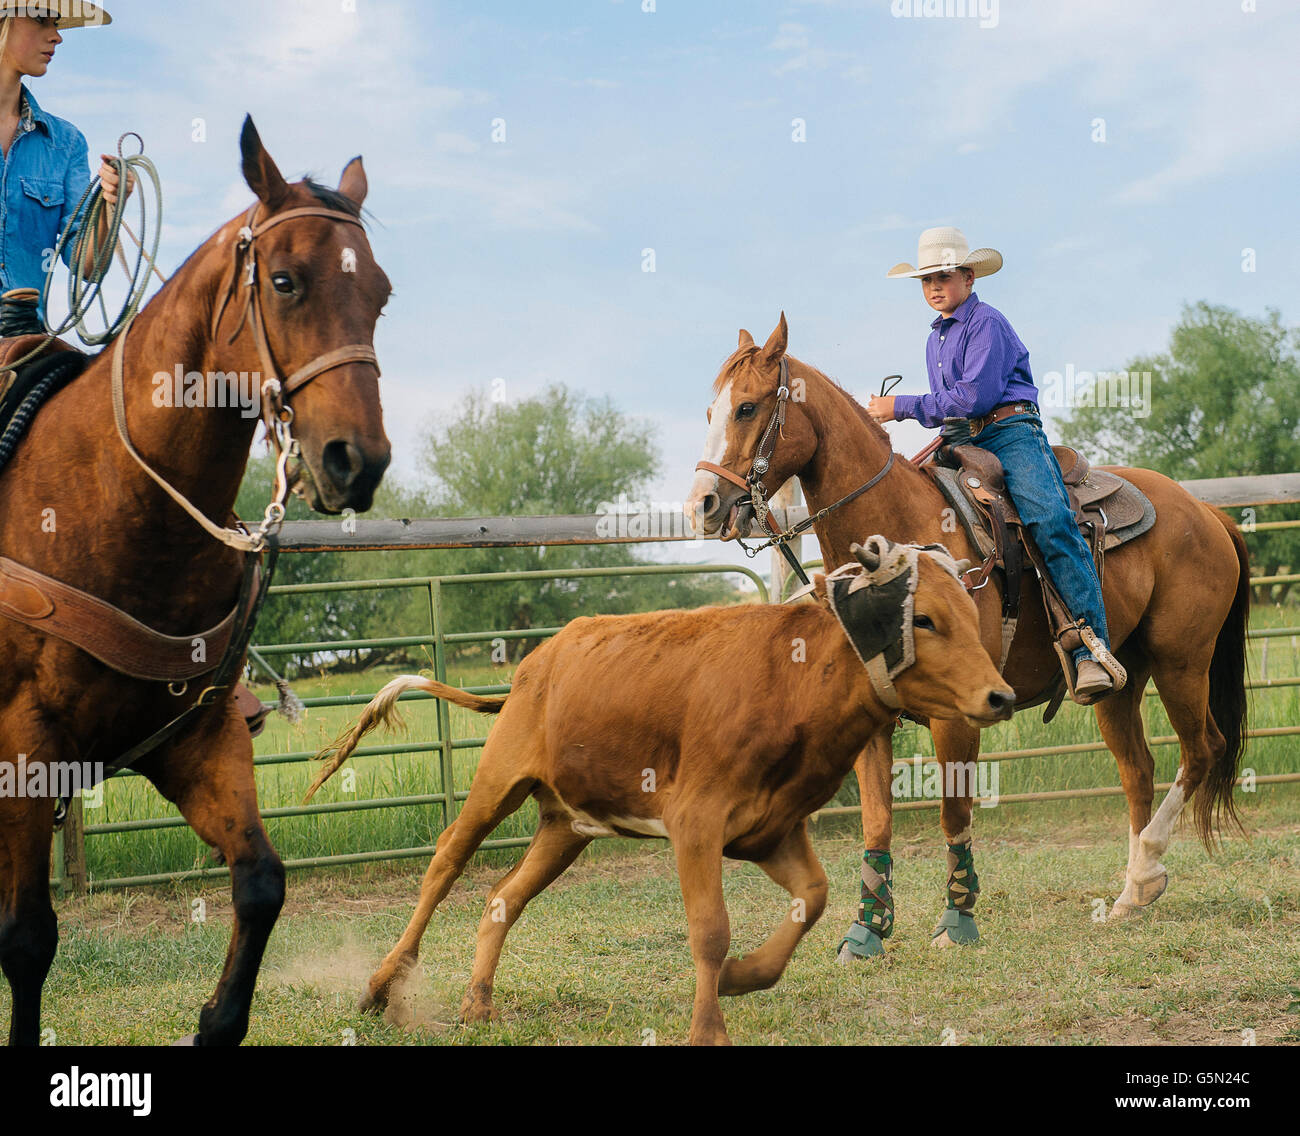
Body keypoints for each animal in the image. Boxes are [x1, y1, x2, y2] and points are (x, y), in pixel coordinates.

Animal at [0, 117, 392, 1046]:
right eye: (284, 281)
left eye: (383, 296)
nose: (355, 461)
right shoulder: (23, 745)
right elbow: (27, 938)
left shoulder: (199, 736)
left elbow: (260, 882)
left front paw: (213, 1020)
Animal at [304, 537, 1015, 1045]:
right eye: (925, 619)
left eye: (967, 615)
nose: (1001, 695)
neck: (793, 676)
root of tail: (536, 662)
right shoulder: (696, 823)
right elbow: (709, 929)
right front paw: (708, 1027)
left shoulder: (772, 829)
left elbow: (811, 900)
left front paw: (741, 978)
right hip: (497, 782)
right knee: (446, 864)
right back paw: (380, 986)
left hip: (567, 825)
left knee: (504, 896)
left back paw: (477, 1005)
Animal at [684, 314, 1250, 956]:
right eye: (712, 410)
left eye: (748, 407)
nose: (703, 504)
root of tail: (1205, 512)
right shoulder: (867, 716)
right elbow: (877, 819)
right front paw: (866, 929)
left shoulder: (959, 717)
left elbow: (954, 814)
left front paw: (957, 921)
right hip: (1122, 680)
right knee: (1138, 769)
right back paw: (1133, 891)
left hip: (1184, 661)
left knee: (1201, 750)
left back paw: (1149, 864)